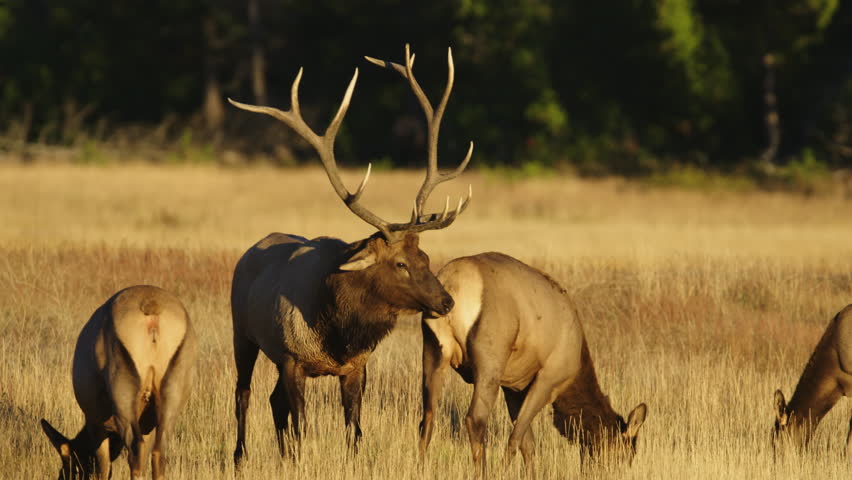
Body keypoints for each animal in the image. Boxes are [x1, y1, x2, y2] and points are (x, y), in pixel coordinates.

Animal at [40, 285, 197, 480]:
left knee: (136, 449)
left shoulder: (95, 420)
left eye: (69, 464)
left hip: (123, 398)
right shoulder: (147, 424)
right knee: (159, 453)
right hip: (170, 400)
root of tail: (151, 307)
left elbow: (103, 467)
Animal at [226, 44, 473, 467]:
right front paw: (301, 461)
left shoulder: (357, 366)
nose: (446, 301)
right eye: (400, 264)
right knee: (244, 394)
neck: (338, 330)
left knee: (274, 402)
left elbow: (354, 429)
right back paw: (240, 456)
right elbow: (303, 425)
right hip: (242, 332)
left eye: (425, 258)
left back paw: (281, 456)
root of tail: (251, 250)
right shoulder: (293, 358)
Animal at [419, 252, 648, 477]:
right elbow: (517, 438)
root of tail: (453, 282)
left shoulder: (513, 387)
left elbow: (527, 443)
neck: (576, 369)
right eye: (624, 455)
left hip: (433, 349)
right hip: (490, 360)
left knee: (427, 417)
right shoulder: (548, 379)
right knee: (475, 419)